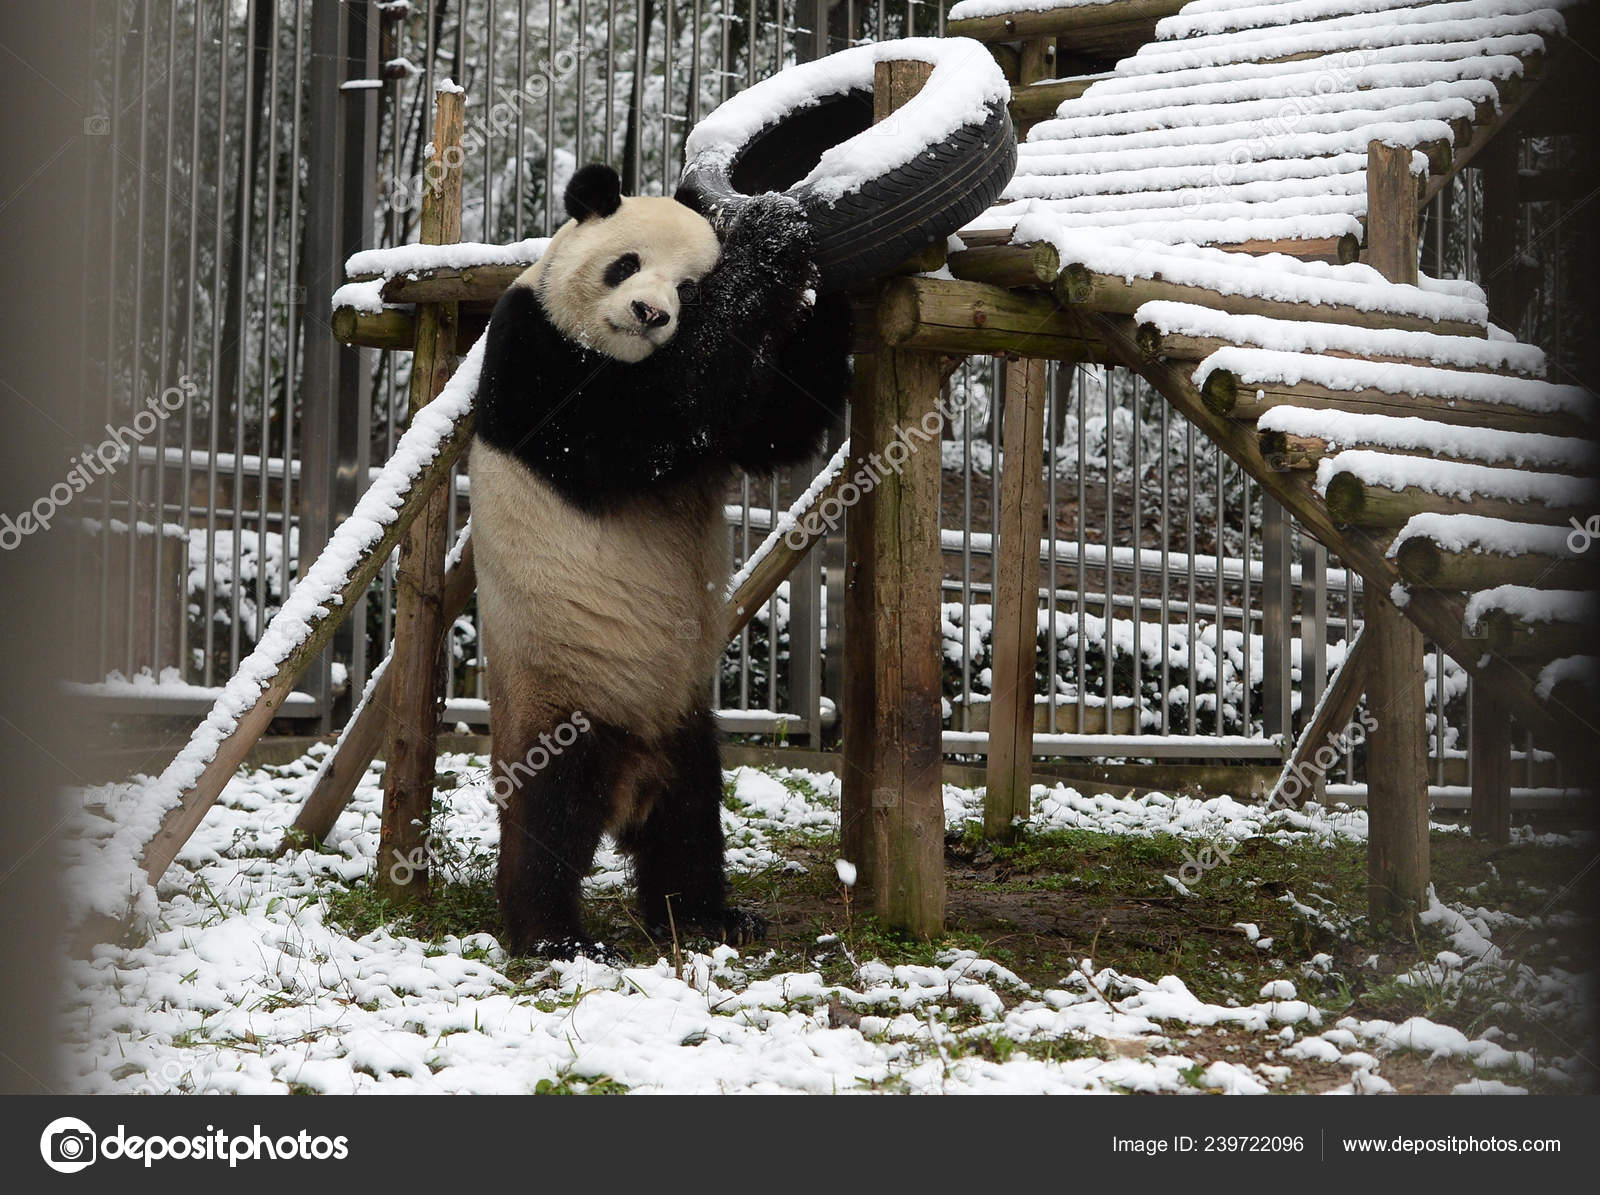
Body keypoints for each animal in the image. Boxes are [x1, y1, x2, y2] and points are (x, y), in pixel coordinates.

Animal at [470, 163, 851, 959]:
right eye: (627, 264)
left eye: (690, 289)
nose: (651, 314)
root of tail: (631, 777)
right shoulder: (532, 355)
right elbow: (655, 421)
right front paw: (772, 233)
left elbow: (774, 425)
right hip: (562, 685)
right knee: (550, 816)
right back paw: (555, 939)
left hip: (681, 717)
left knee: (690, 820)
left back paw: (707, 916)